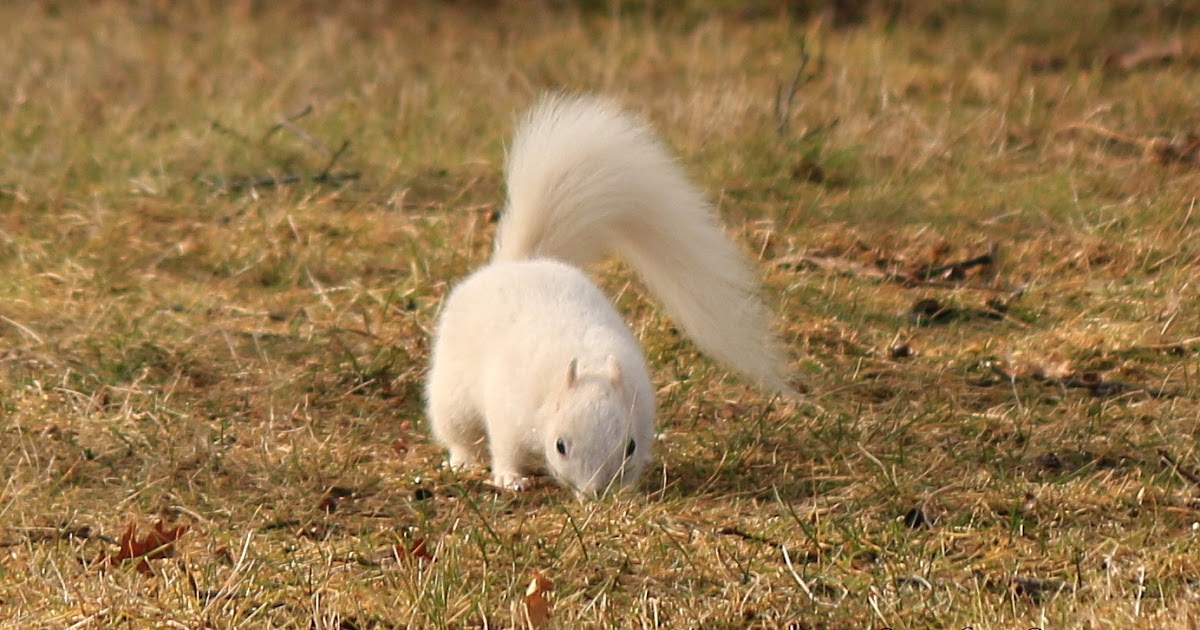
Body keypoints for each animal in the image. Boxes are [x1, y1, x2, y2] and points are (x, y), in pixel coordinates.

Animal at [425, 94, 792, 498]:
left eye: (629, 446)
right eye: (560, 446)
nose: (595, 493)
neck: (586, 363)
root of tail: (521, 263)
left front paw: (628, 490)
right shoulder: (508, 412)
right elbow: (506, 450)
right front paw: (510, 479)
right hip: (453, 393)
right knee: (458, 433)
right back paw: (462, 461)